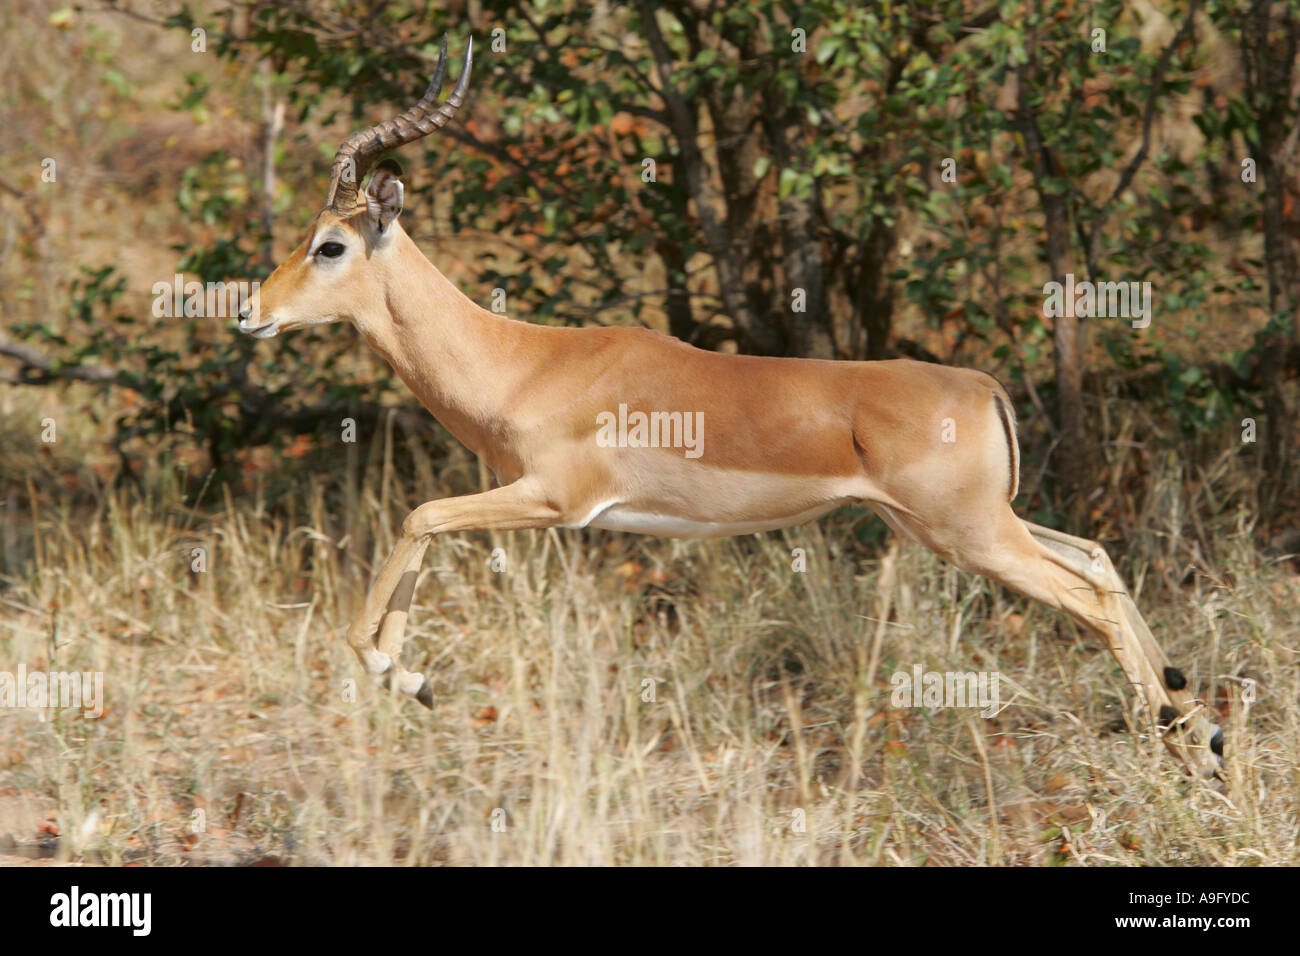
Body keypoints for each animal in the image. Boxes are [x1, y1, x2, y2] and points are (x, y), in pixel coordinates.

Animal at [238, 36, 1222, 780]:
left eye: (330, 244)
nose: (250, 311)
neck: (524, 362)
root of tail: (980, 386)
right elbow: (422, 534)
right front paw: (416, 682)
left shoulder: (555, 502)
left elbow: (418, 517)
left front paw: (397, 674)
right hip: (968, 525)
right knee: (1099, 560)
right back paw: (1198, 725)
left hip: (969, 534)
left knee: (1088, 595)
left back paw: (1183, 740)